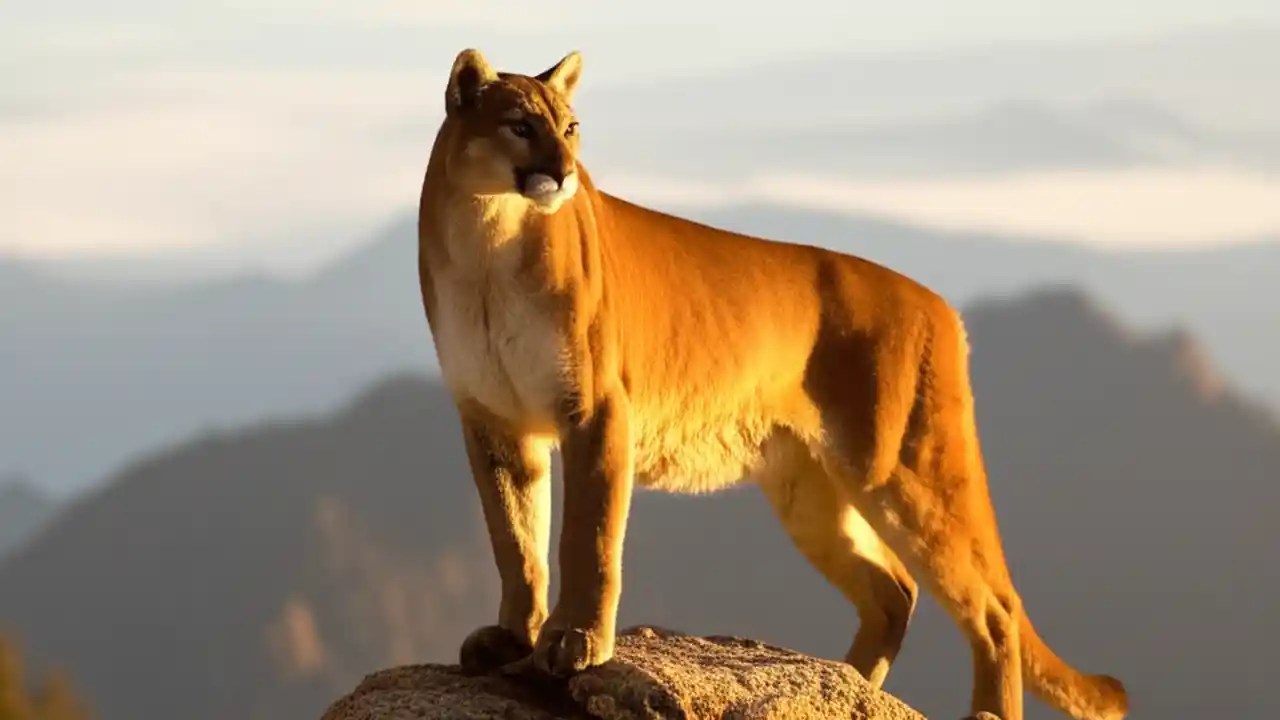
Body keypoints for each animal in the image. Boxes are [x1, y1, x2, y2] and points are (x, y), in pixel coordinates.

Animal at [416, 48, 1128, 720]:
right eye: (519, 126)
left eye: (570, 127)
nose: (564, 172)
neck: (488, 237)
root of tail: (939, 305)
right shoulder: (493, 420)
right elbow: (515, 538)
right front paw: (513, 638)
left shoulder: (595, 412)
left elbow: (586, 536)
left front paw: (576, 641)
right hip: (808, 490)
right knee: (894, 588)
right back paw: (847, 686)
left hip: (900, 468)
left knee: (995, 606)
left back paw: (974, 708)